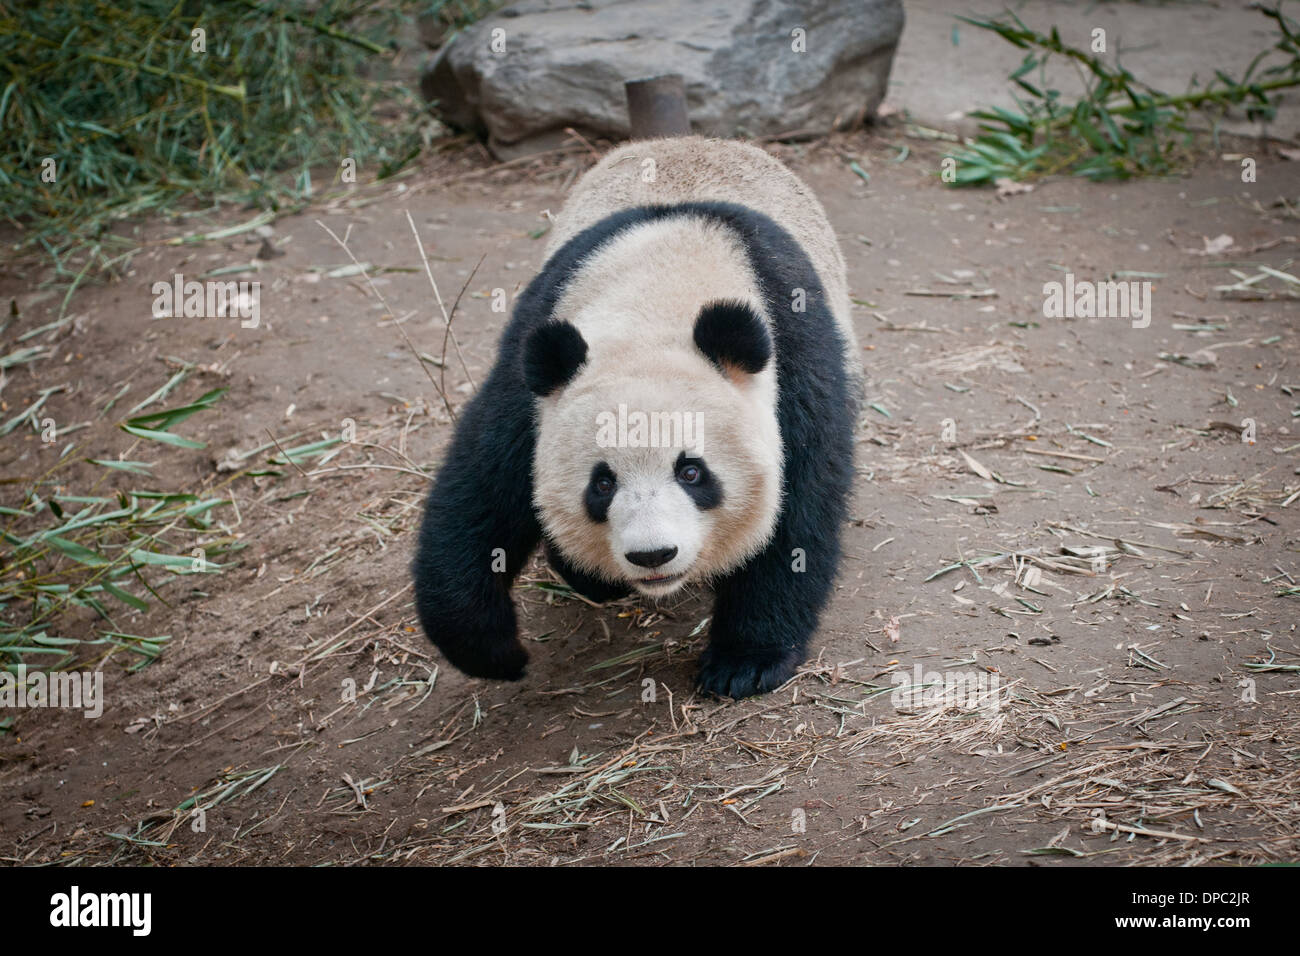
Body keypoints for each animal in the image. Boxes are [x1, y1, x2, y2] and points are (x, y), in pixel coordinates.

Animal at [412, 136, 860, 698]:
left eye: (691, 471)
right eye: (602, 484)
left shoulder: (794, 353)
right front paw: (494, 650)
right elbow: (482, 489)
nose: (652, 556)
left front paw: (745, 661)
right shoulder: (533, 364)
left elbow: (800, 506)